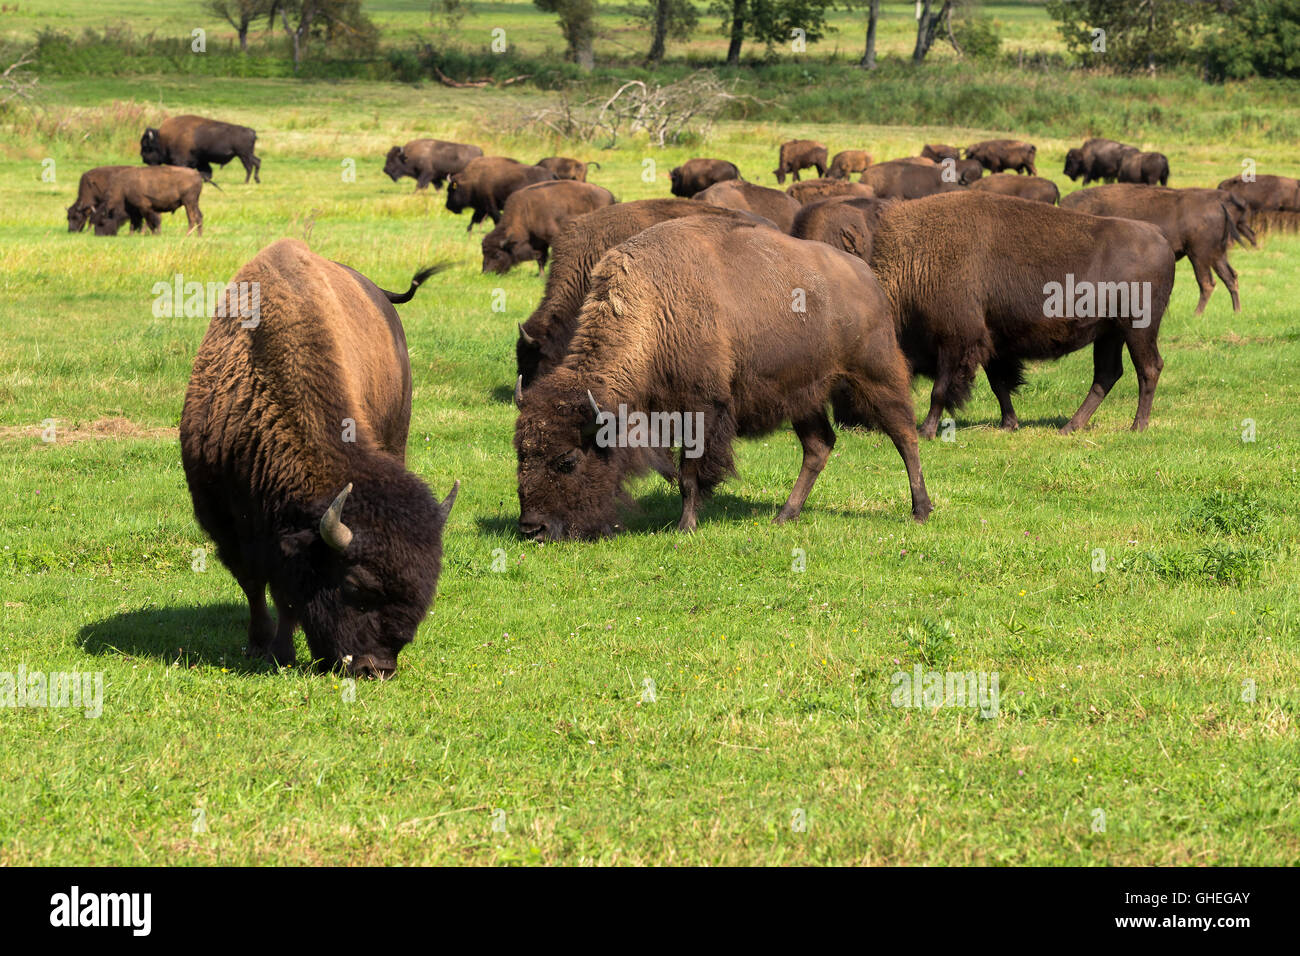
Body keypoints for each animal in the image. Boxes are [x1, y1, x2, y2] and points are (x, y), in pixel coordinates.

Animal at [180, 239, 456, 678]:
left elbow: (286, 595)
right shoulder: (226, 524)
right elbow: (255, 584)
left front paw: (280, 650)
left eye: (425, 591)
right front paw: (263, 646)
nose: (376, 667)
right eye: (354, 586)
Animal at [481, 179, 617, 274]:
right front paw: (541, 275)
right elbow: (540, 258)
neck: (526, 212)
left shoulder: (551, 237)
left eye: (497, 254)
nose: (486, 272)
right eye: (484, 253)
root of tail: (609, 195)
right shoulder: (539, 242)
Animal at [513, 216, 932, 541]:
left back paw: (921, 510)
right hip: (802, 396)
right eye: (521, 452)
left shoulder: (703, 409)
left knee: (903, 435)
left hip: (874, 377)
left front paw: (685, 526)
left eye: (567, 460)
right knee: (819, 446)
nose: (532, 529)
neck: (654, 311)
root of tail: (867, 278)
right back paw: (784, 515)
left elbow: (690, 473)